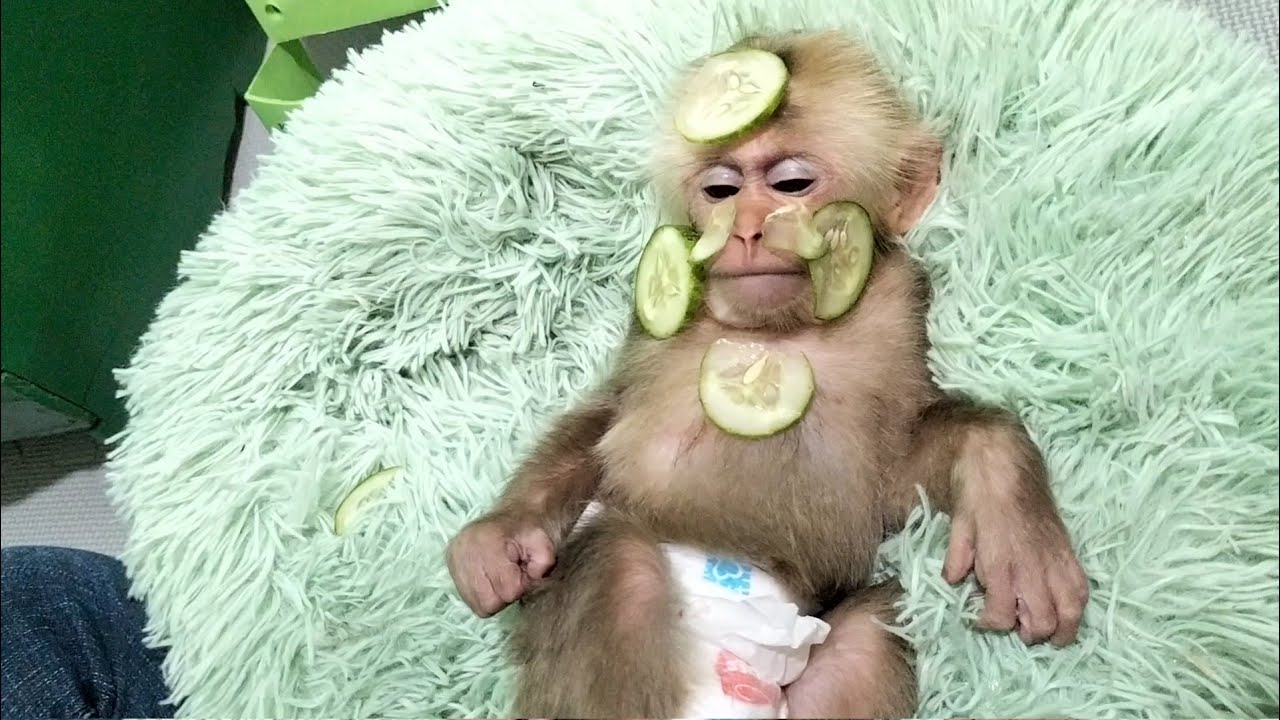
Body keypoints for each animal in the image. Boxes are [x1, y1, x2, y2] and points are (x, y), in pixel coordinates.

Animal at [445, 29, 1090, 719]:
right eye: (722, 191)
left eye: (791, 182)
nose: (749, 230)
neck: (778, 331)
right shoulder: (646, 328)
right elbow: (604, 424)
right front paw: (504, 535)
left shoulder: (901, 308)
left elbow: (898, 478)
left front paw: (1009, 514)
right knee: (615, 564)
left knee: (878, 628)